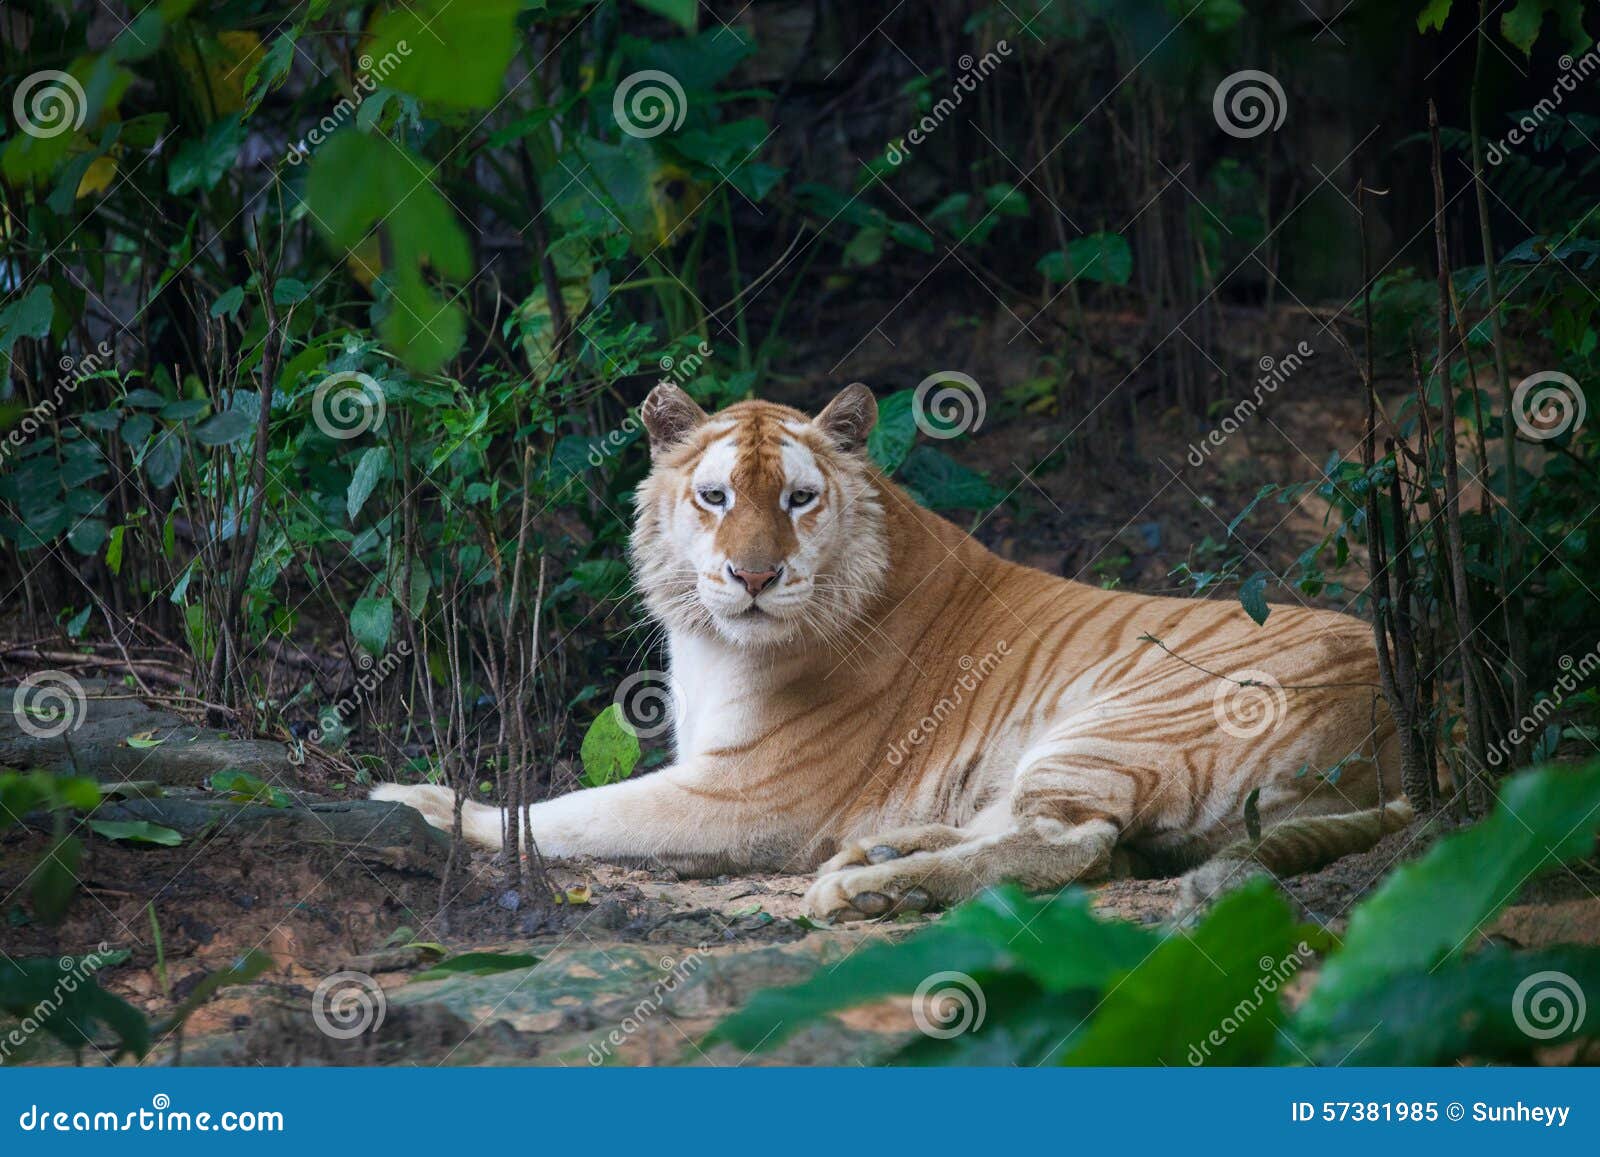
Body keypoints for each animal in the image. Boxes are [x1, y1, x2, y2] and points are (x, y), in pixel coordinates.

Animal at [372, 382, 1408, 920]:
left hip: (1125, 716)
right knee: (1066, 841)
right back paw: (883, 851)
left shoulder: (745, 797)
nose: (753, 576)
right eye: (714, 496)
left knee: (1069, 844)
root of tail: (1408, 720)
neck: (713, 639)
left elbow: (563, 814)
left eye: (798, 499)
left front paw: (414, 801)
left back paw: (865, 889)